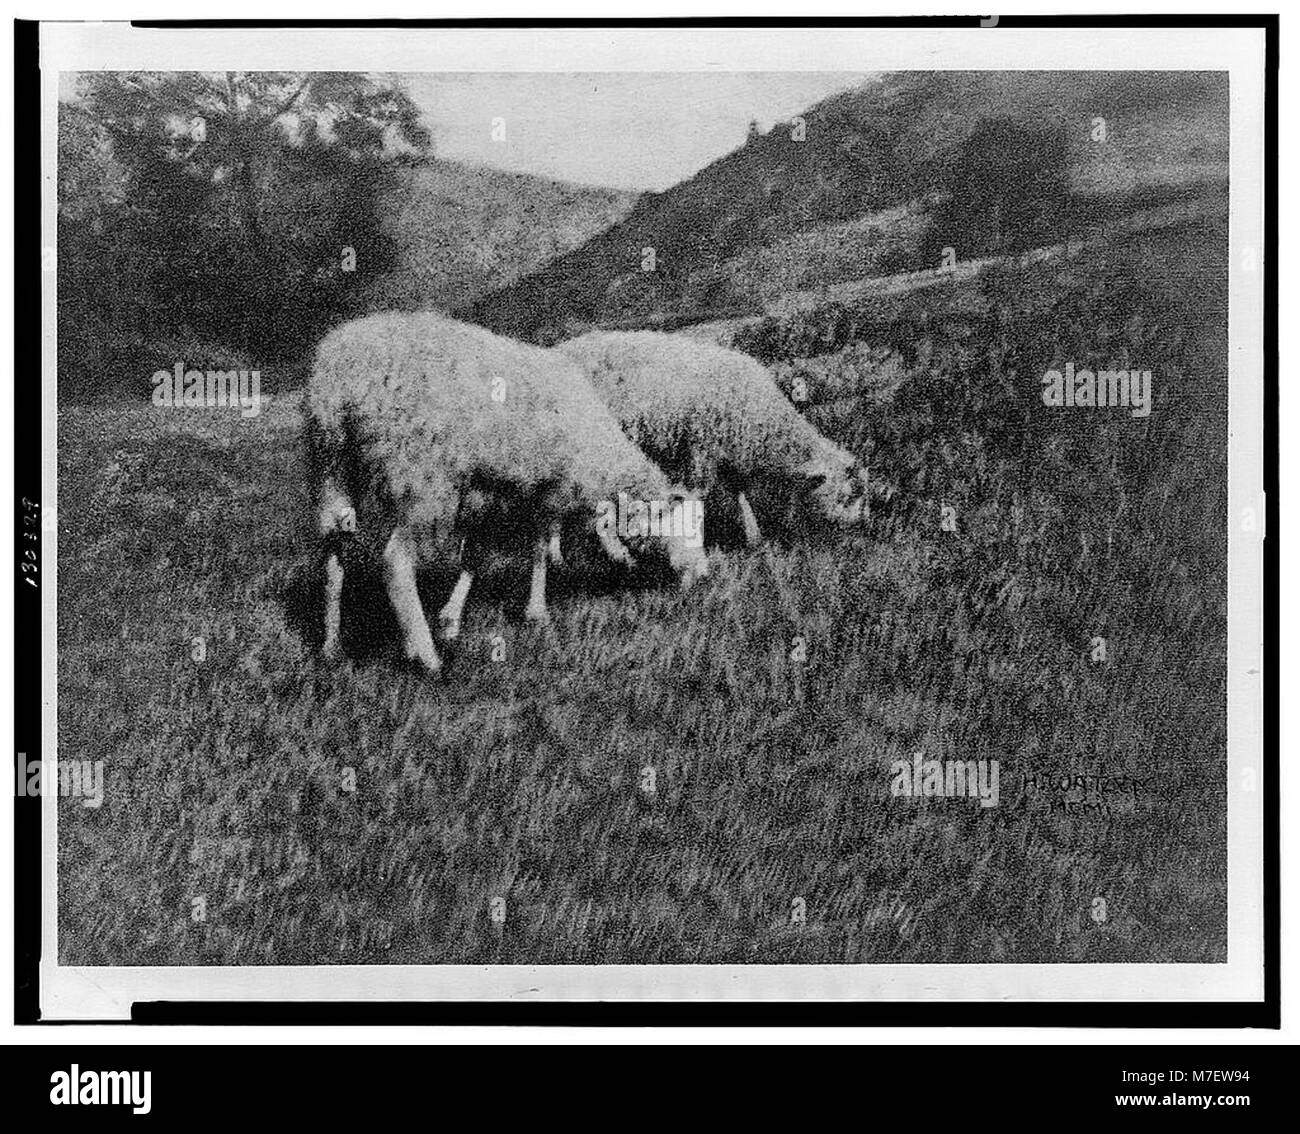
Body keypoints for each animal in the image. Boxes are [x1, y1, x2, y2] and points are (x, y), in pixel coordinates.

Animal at [305, 312, 708, 677]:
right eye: (683, 526)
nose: (704, 574)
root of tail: (344, 375)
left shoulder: (487, 496)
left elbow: (476, 558)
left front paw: (451, 619)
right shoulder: (548, 491)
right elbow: (540, 550)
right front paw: (536, 610)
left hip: (331, 468)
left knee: (334, 552)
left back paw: (331, 645)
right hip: (423, 478)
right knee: (395, 563)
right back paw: (424, 654)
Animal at [555, 330, 870, 548]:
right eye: (849, 495)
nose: (862, 527)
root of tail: (561, 348)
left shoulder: (730, 452)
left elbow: (740, 493)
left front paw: (754, 537)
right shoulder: (700, 449)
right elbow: (697, 494)